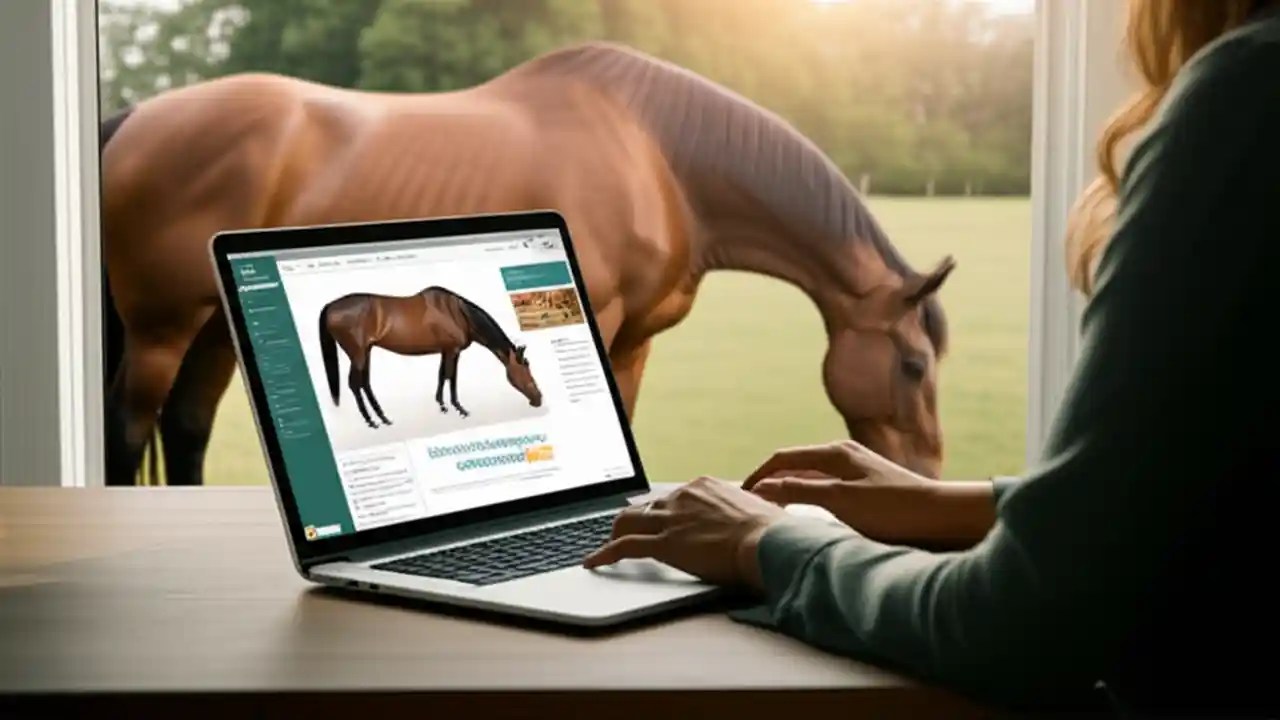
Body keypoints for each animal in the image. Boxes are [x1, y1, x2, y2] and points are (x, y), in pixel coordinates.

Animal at [317, 286, 542, 428]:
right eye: (525, 370)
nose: (538, 399)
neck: (459, 313)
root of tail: (329, 306)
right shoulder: (453, 350)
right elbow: (451, 377)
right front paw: (459, 408)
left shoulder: (446, 351)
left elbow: (443, 376)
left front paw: (442, 404)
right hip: (357, 353)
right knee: (355, 384)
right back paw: (371, 421)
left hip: (366, 352)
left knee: (365, 383)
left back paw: (382, 417)